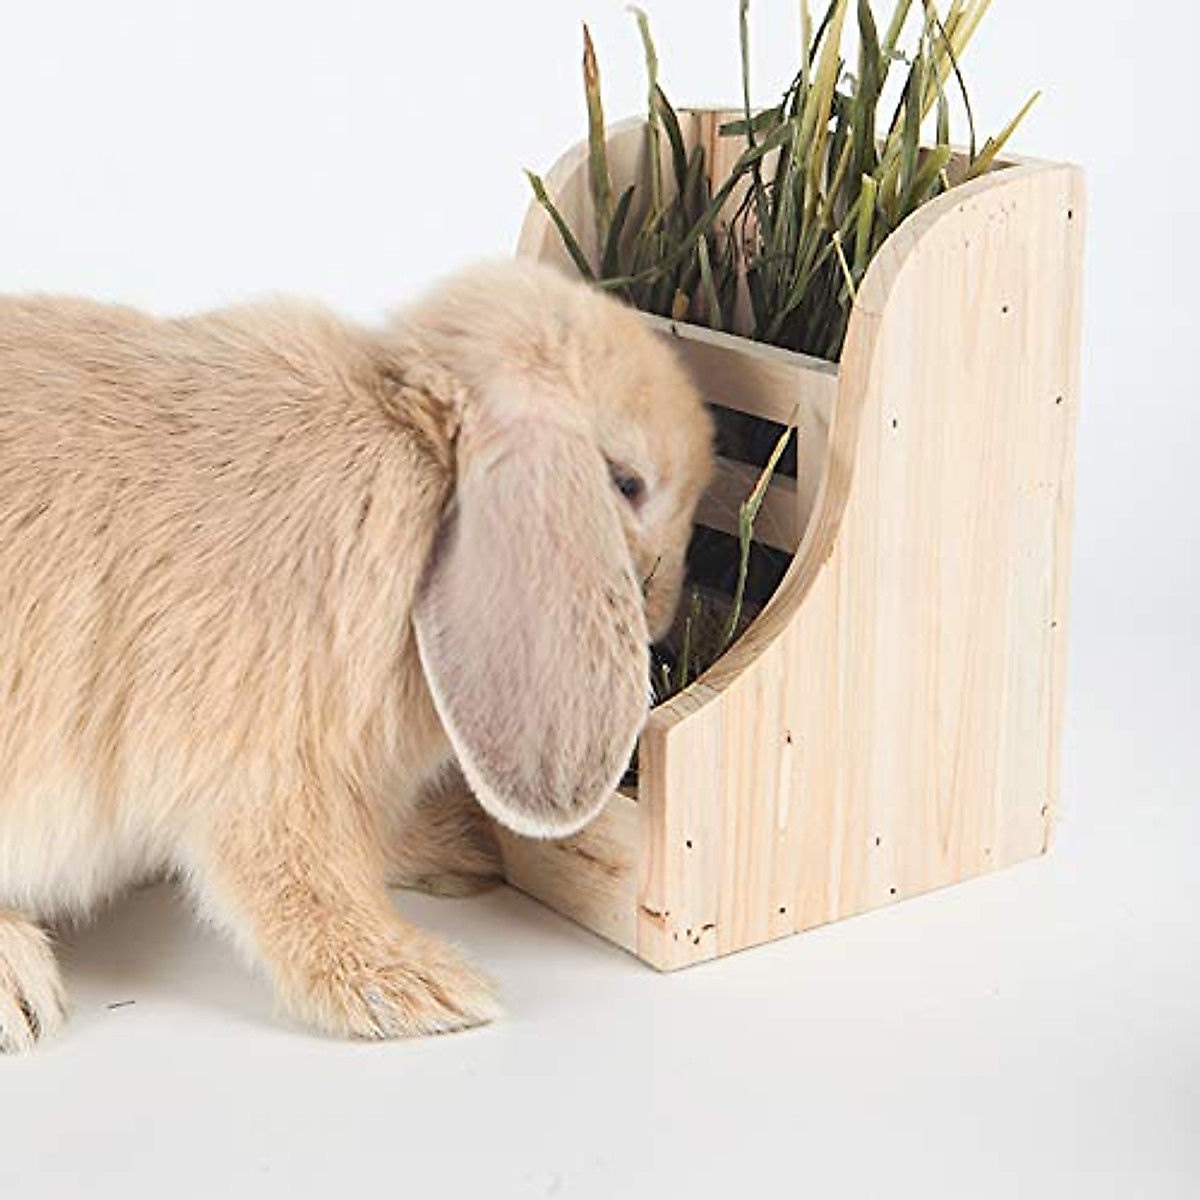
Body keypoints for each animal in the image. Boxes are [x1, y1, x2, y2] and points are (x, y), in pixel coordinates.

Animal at [0, 259, 714, 1050]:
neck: (419, 465)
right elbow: (306, 884)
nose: (664, 611)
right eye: (627, 483)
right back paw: (20, 990)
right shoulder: (268, 767)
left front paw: (464, 849)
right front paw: (419, 987)